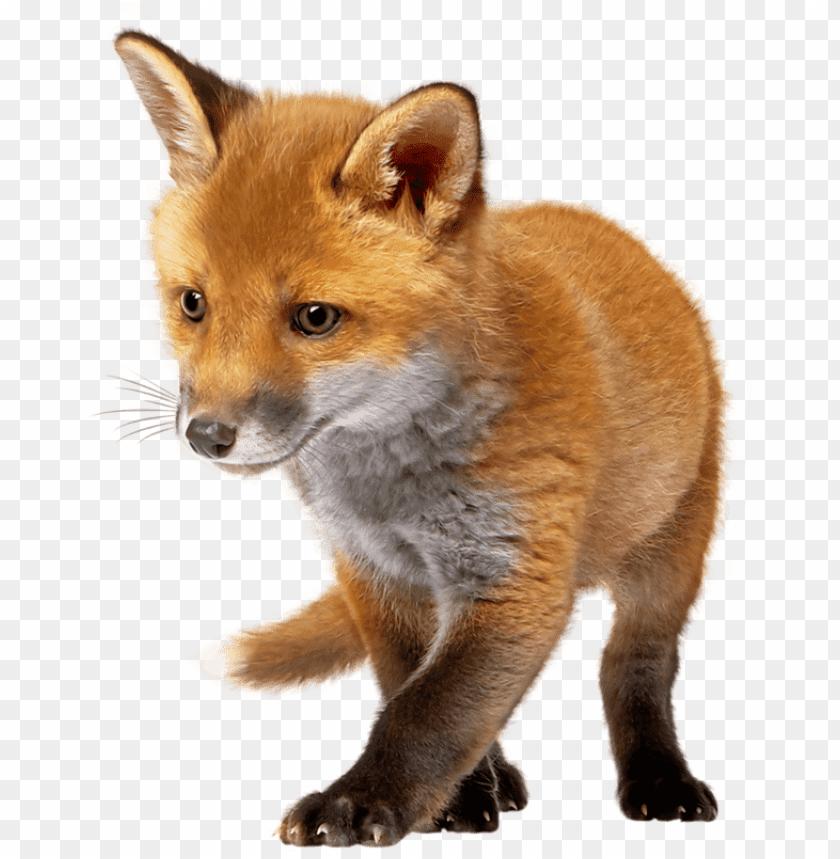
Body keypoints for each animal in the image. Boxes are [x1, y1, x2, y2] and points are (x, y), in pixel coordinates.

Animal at [114, 31, 723, 846]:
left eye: (315, 318)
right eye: (192, 304)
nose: (206, 435)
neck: (390, 483)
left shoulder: (518, 575)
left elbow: (429, 713)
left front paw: (360, 802)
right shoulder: (376, 570)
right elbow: (411, 683)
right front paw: (461, 798)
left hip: (670, 549)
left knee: (635, 664)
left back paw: (659, 777)